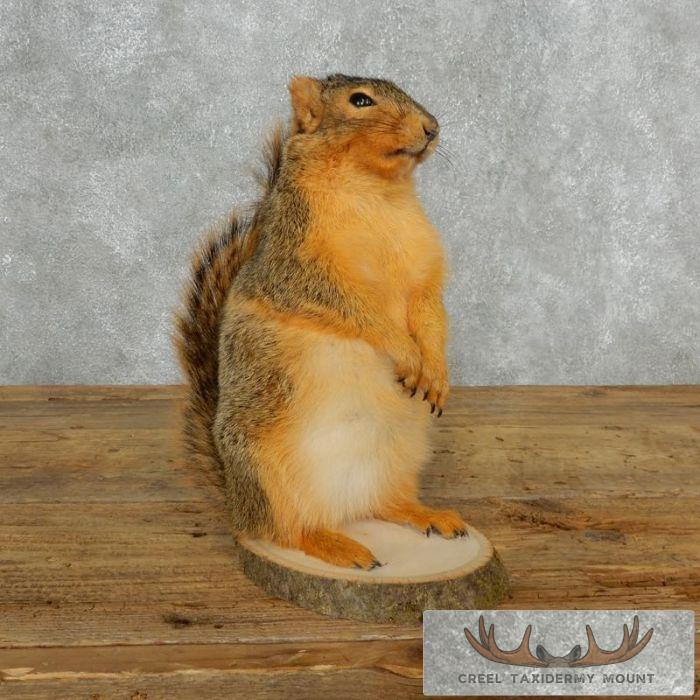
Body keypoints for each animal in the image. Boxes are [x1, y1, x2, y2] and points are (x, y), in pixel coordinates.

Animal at [175, 74, 468, 570]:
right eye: (360, 100)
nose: (431, 128)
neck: (376, 191)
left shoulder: (424, 269)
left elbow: (430, 311)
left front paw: (436, 370)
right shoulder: (295, 265)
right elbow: (351, 308)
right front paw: (405, 351)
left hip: (400, 455)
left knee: (385, 503)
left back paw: (425, 514)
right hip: (266, 468)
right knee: (285, 530)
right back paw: (336, 545)